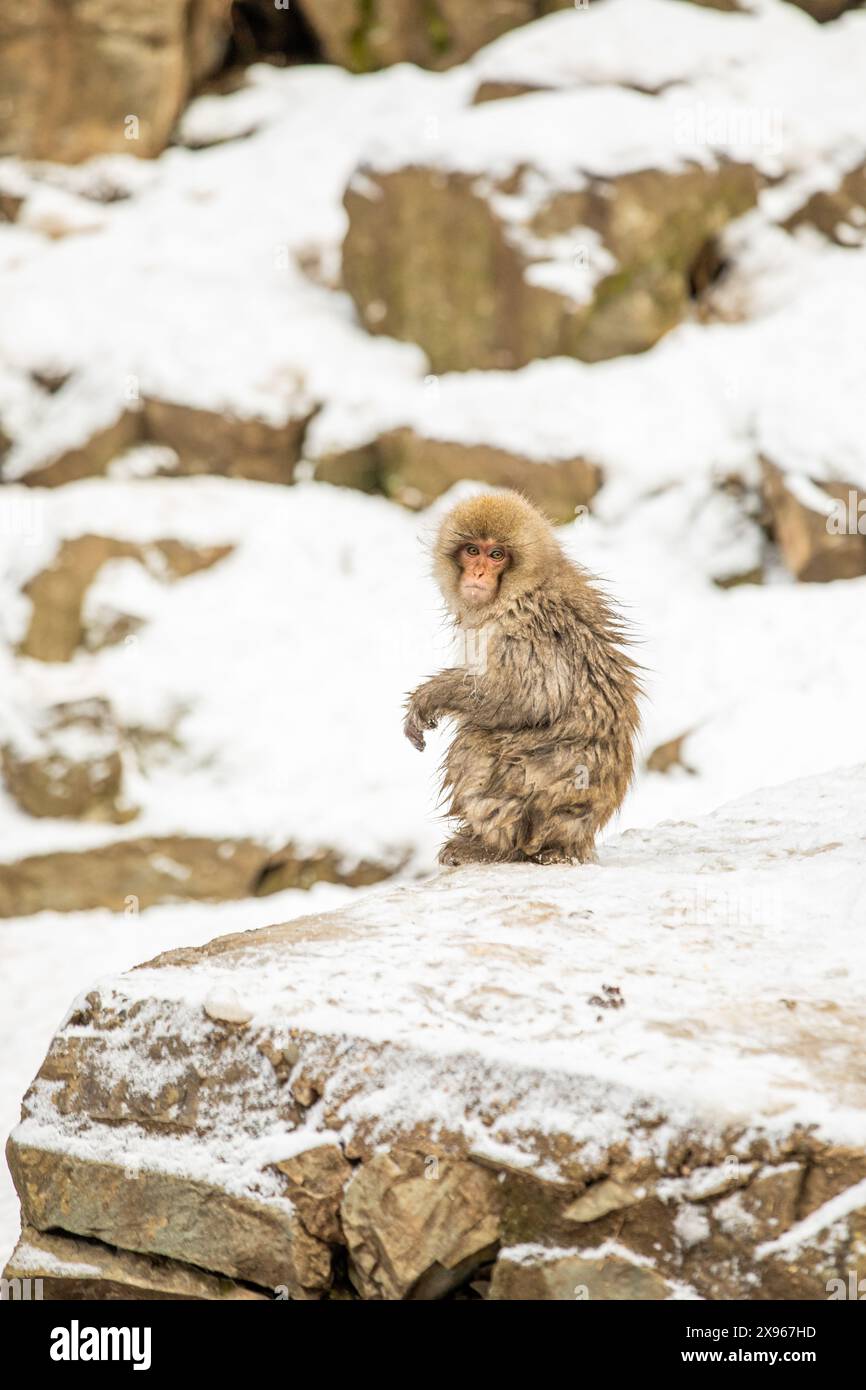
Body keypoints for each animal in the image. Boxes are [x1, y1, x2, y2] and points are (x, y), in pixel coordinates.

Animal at [403, 490, 641, 867]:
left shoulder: (525, 626)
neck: (522, 587)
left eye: (497, 555)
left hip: (533, 802)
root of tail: (576, 840)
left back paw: (491, 847)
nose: (479, 572)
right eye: (473, 550)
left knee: (475, 739)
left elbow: (531, 698)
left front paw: (431, 696)